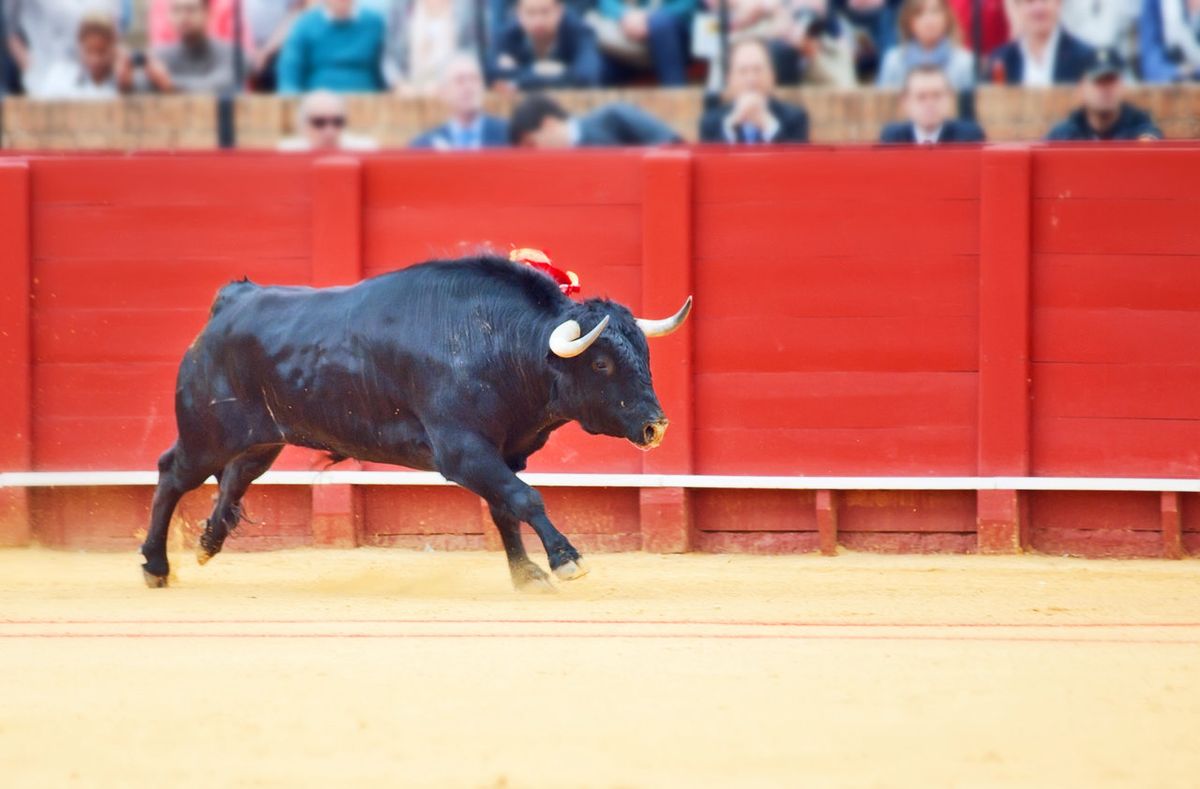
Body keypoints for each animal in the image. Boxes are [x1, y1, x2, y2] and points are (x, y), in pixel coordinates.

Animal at [140, 254, 691, 591]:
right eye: (601, 364)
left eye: (643, 354)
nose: (656, 427)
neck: (498, 342)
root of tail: (232, 303)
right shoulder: (463, 452)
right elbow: (523, 498)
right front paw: (564, 560)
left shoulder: (502, 453)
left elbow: (504, 509)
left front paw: (525, 574)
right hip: (206, 434)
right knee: (172, 474)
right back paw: (154, 565)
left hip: (261, 441)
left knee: (234, 477)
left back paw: (207, 545)